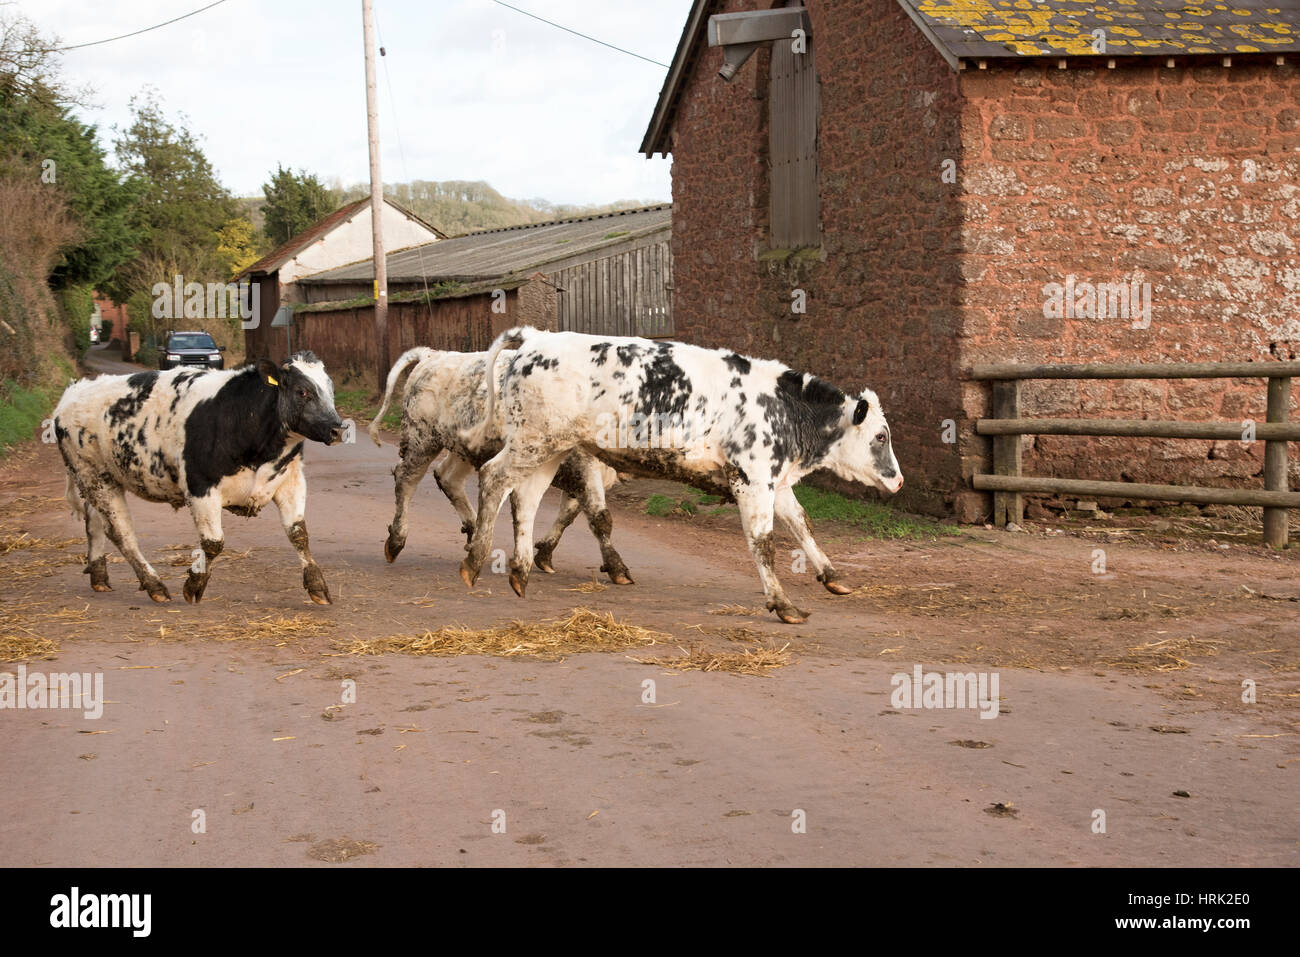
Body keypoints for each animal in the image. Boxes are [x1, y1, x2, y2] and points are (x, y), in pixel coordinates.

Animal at [52, 352, 345, 605]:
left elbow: (299, 534)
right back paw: (154, 585)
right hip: (92, 474)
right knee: (120, 531)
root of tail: (73, 392)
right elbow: (213, 543)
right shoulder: (200, 485)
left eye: (330, 389)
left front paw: (317, 585)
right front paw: (194, 584)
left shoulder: (290, 482)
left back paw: (99, 576)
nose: (337, 429)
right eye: (302, 391)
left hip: (100, 477)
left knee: (95, 522)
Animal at [369, 346, 633, 586]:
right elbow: (600, 518)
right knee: (406, 479)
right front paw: (617, 567)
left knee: (447, 477)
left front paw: (545, 553)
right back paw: (397, 539)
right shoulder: (584, 465)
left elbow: (568, 515)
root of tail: (435, 354)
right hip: (421, 438)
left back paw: (474, 532)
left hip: (466, 448)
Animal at [459, 327, 903, 623]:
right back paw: (475, 561)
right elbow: (764, 544)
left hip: (551, 448)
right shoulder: (751, 479)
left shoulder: (774, 481)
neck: (783, 408)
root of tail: (537, 336)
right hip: (533, 443)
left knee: (527, 497)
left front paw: (833, 576)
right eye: (881, 436)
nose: (898, 480)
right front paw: (783, 604)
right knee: (493, 477)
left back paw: (520, 571)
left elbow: (802, 525)